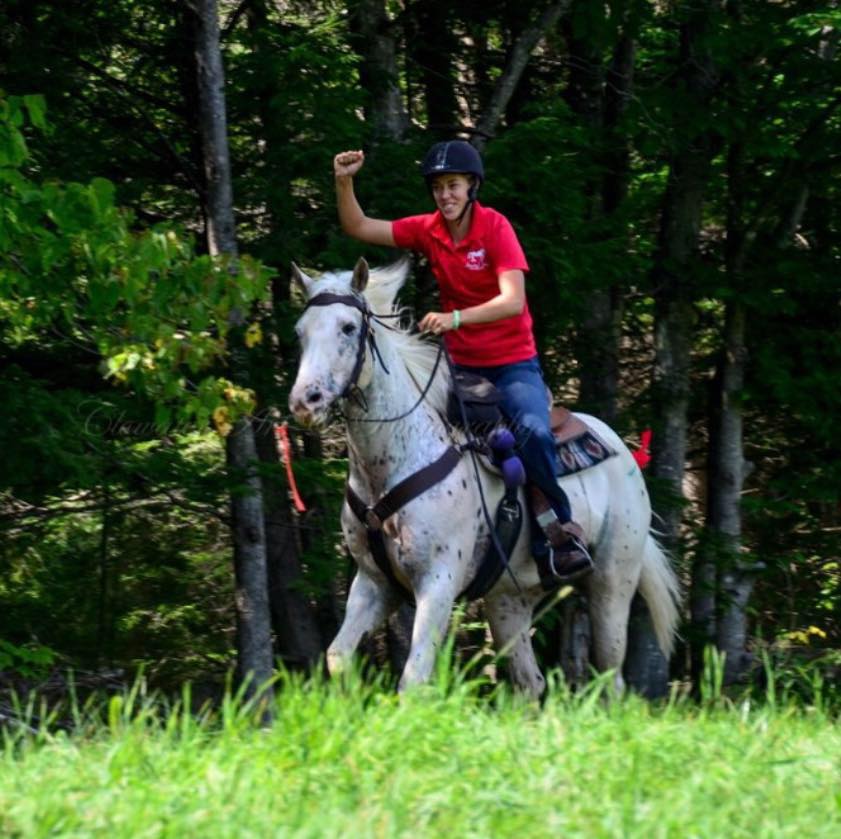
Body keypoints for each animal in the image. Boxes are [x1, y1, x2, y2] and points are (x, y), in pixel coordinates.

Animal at [289, 258, 680, 697]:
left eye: (348, 327)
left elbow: (413, 679)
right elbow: (338, 657)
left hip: (612, 585)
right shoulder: (373, 584)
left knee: (611, 678)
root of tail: (622, 449)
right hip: (508, 600)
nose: (305, 401)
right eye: (300, 331)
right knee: (530, 682)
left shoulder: (438, 582)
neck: (391, 465)